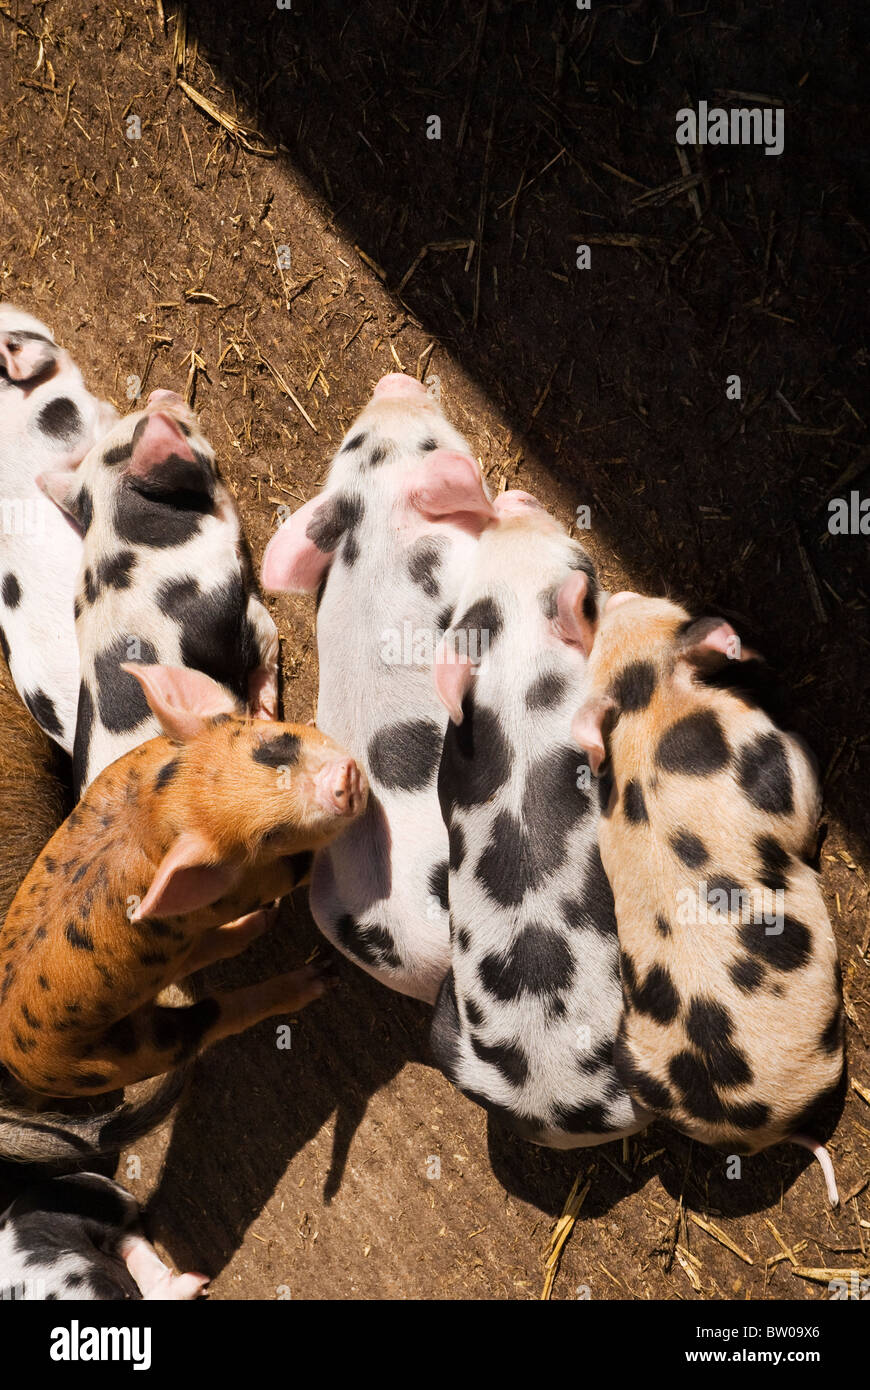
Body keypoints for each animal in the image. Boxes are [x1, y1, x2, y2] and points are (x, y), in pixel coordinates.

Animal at [0, 663, 365, 1158]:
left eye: (275, 746)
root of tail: (13, 1059)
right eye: (269, 835)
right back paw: (319, 977)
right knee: (211, 1019)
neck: (157, 809)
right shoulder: (245, 886)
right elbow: (295, 870)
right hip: (118, 1057)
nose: (343, 783)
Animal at [429, 491, 648, 1146]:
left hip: (447, 1034)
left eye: (473, 597)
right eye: (585, 571)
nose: (511, 500)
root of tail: (546, 1107)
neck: (524, 687)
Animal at [571, 592, 845, 1203]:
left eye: (632, 603)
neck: (648, 708)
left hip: (632, 1054)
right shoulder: (774, 761)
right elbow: (805, 787)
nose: (614, 593)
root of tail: (751, 1125)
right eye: (665, 603)